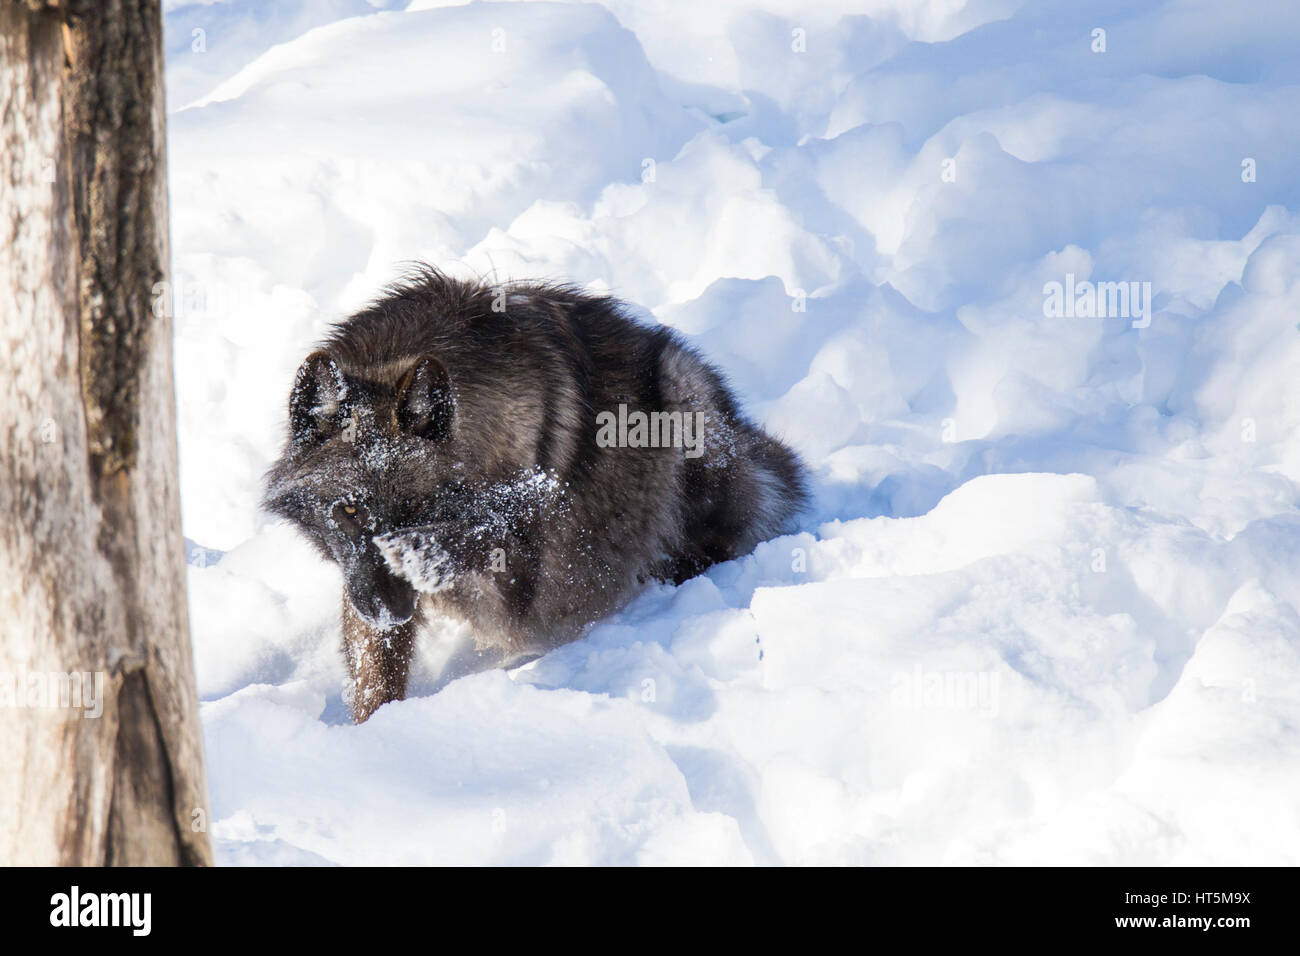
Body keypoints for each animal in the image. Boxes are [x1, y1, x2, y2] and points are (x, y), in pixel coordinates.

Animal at [263, 267, 807, 721]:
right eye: (350, 509)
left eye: (421, 509)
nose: (391, 611)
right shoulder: (359, 585)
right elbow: (374, 674)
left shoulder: (526, 559)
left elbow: (492, 523)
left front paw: (426, 551)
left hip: (680, 401)